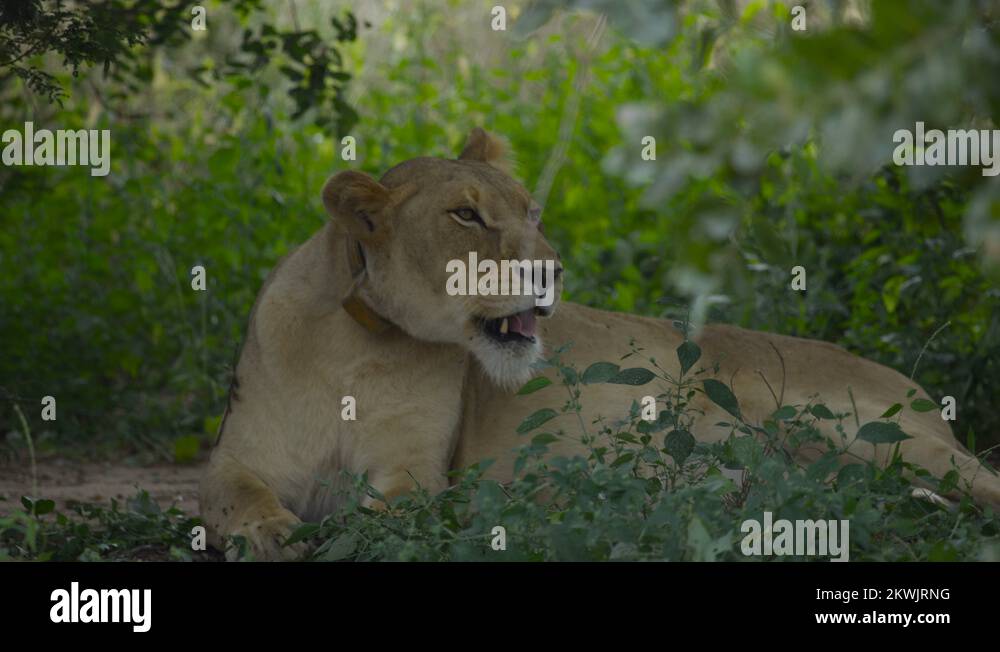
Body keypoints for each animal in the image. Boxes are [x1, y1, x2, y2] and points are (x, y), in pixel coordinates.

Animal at [200, 127, 1000, 560]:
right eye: (466, 216)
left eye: (531, 211)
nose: (549, 271)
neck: (356, 347)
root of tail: (916, 388)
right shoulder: (241, 454)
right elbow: (234, 494)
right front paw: (270, 531)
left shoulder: (419, 474)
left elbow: (382, 516)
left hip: (882, 435)